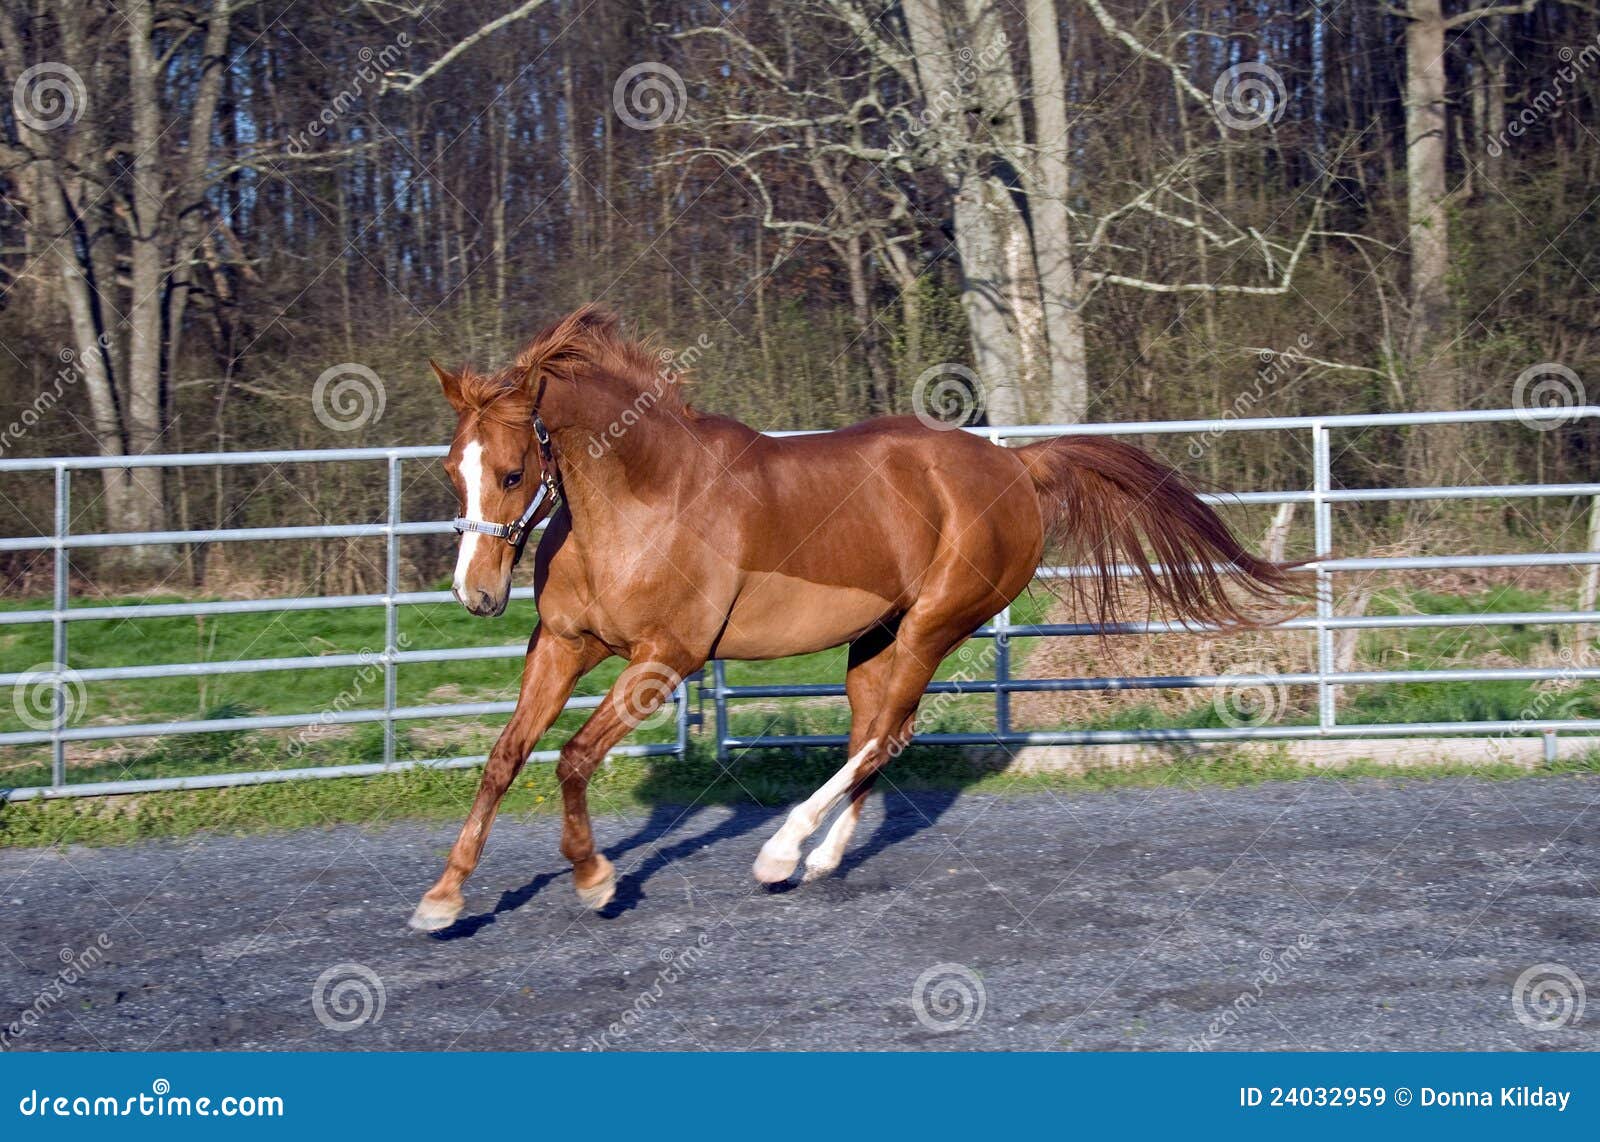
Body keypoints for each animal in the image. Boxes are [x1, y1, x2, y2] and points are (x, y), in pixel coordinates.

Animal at [408, 305, 1299, 932]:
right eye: (453, 470)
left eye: (515, 472)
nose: (476, 595)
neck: (640, 500)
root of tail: (1013, 465)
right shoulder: (565, 644)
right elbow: (504, 758)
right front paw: (443, 898)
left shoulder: (667, 658)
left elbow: (572, 759)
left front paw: (595, 880)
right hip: (875, 637)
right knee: (877, 733)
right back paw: (822, 858)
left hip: (935, 626)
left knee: (887, 735)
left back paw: (781, 853)